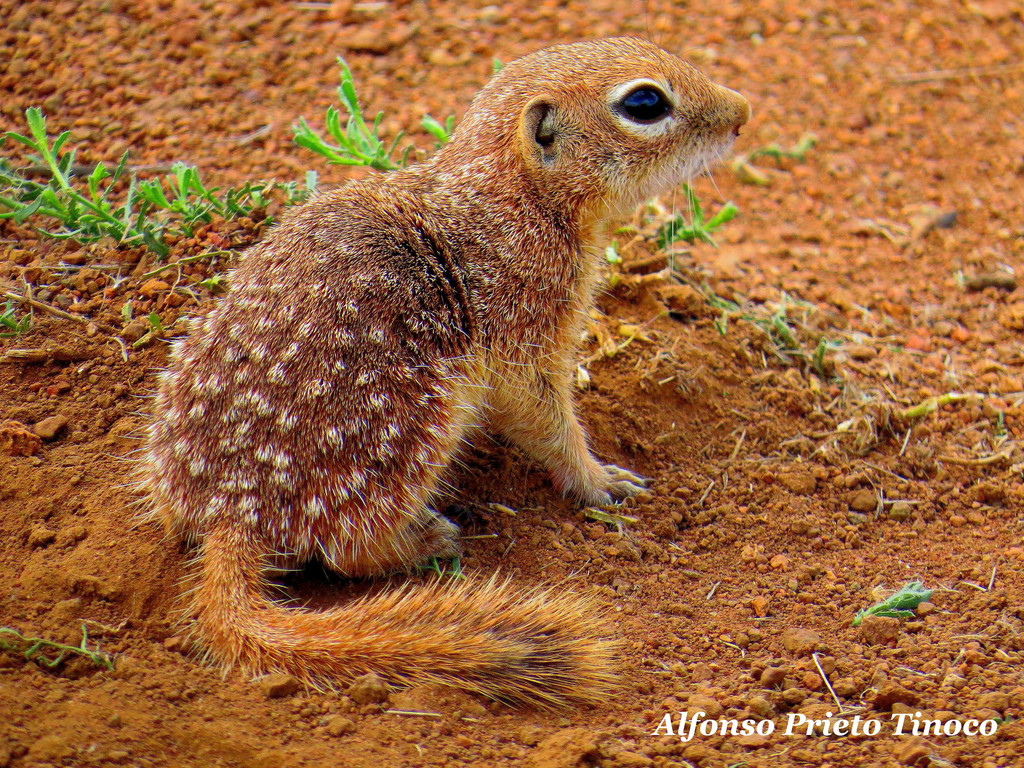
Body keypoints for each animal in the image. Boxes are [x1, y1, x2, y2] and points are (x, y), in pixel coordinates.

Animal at [142, 37, 749, 708]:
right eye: (645, 103)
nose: (743, 113)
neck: (511, 197)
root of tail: (233, 513)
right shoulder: (525, 323)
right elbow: (543, 418)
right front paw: (599, 480)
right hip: (407, 422)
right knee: (349, 548)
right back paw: (429, 538)